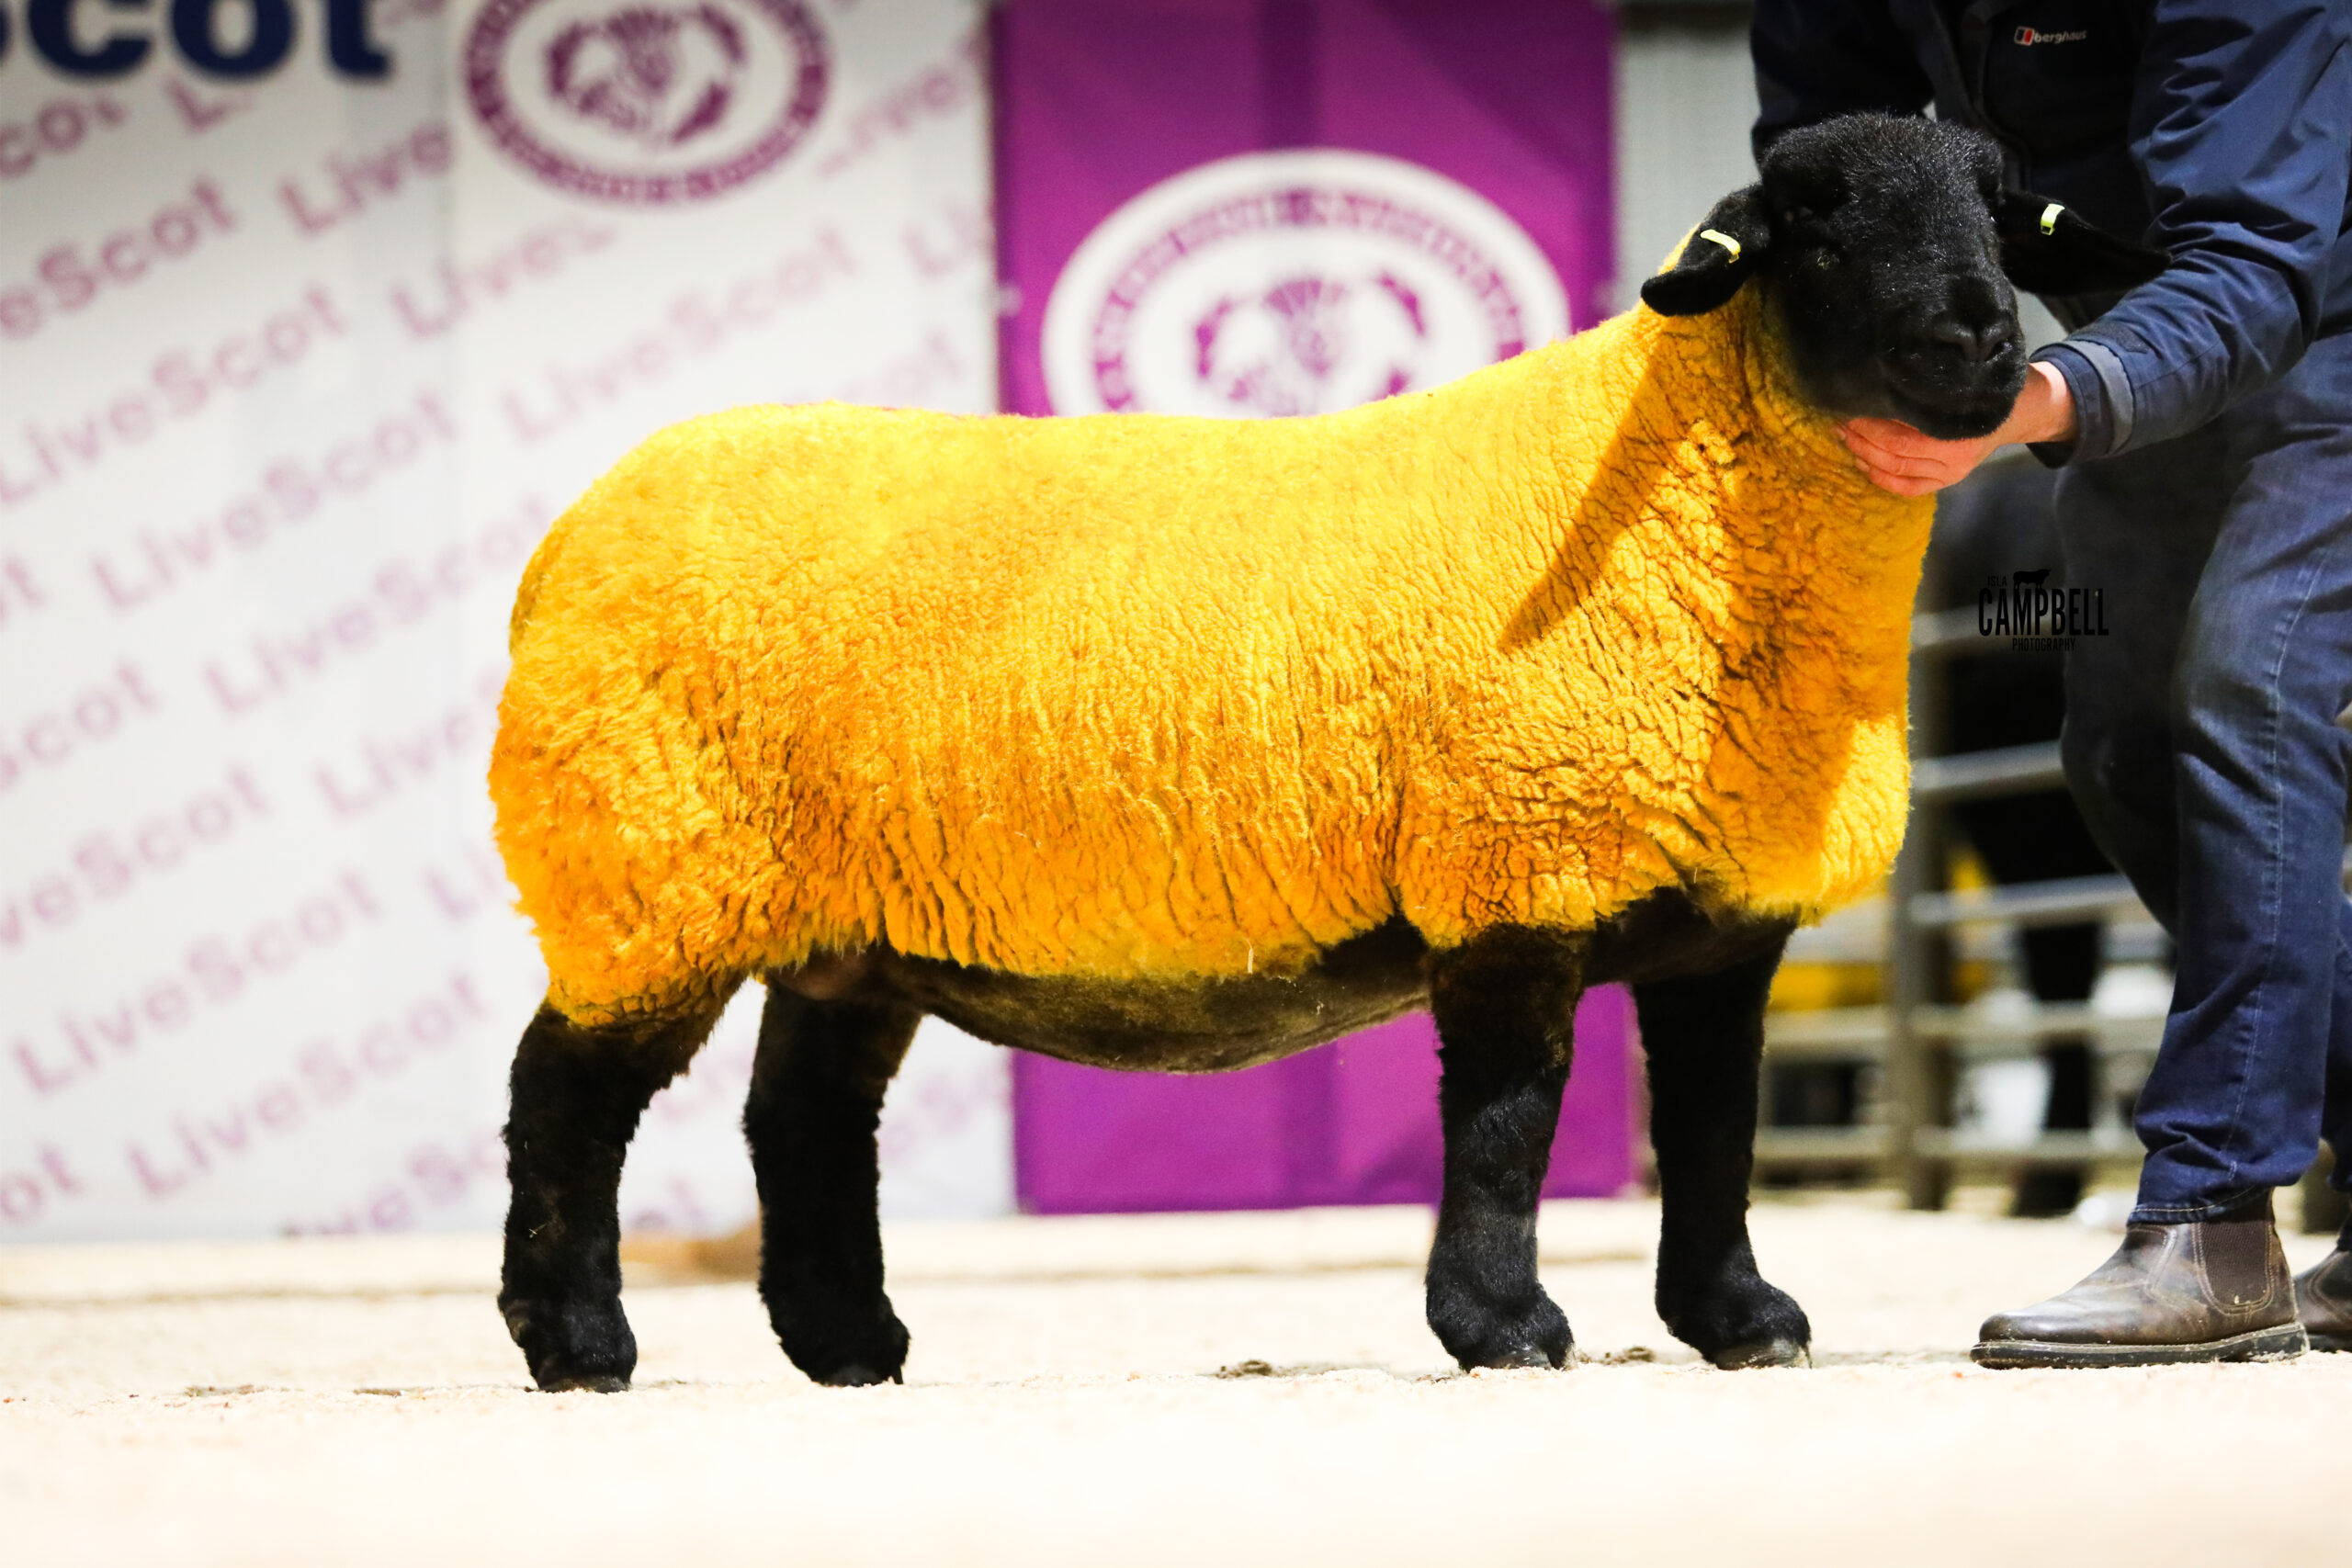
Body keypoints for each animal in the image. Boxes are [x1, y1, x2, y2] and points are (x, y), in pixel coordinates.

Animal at [488, 116, 2166, 1391]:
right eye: (1811, 231)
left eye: (1999, 212)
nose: (1976, 335)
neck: (1689, 516)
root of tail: (569, 539)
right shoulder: (1512, 864)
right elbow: (1508, 1120)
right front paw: (1504, 1327)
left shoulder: (1718, 919)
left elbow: (1715, 1126)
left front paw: (1738, 1321)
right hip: (649, 867)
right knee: (565, 1097)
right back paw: (578, 1344)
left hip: (839, 920)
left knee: (805, 1117)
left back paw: (848, 1346)